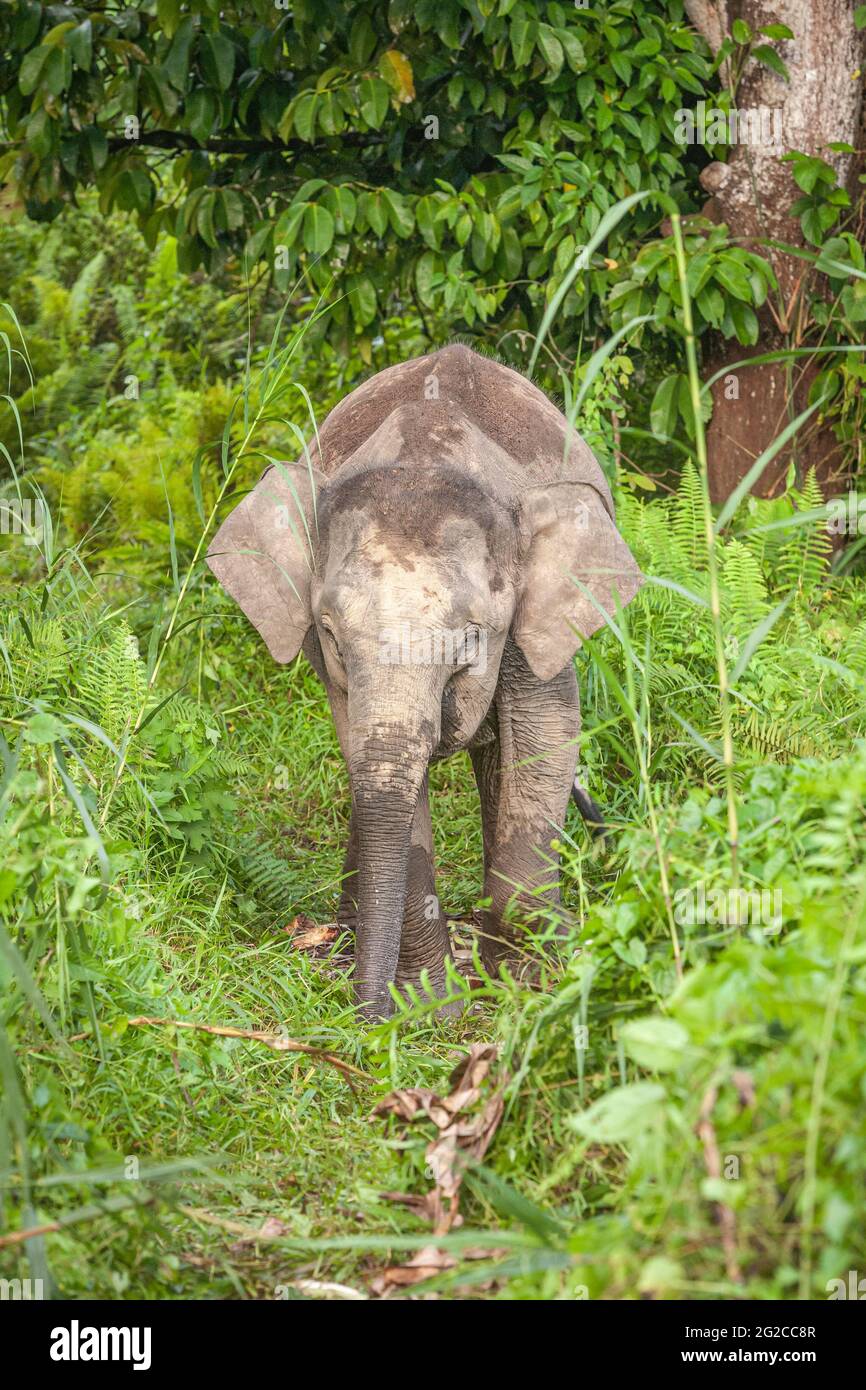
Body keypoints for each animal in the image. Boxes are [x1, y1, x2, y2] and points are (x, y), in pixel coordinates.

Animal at [207, 343, 643, 1019]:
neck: (428, 453)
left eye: (471, 639)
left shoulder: (532, 623)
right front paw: (429, 1006)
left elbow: (545, 736)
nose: (365, 1022)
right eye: (332, 636)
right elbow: (374, 764)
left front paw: (526, 985)